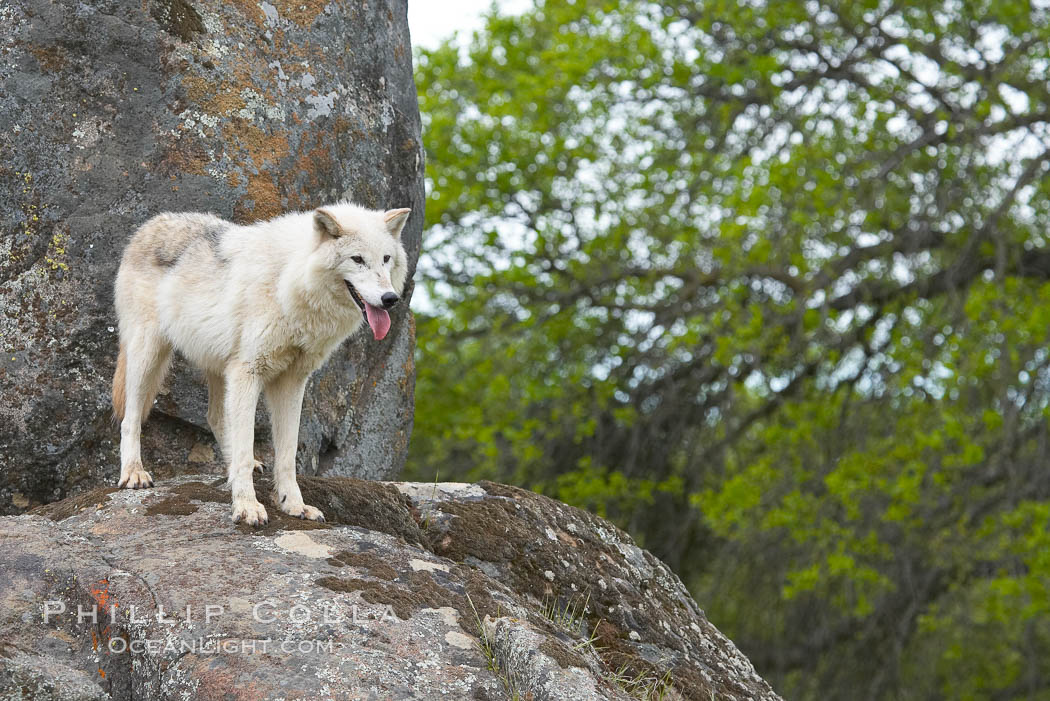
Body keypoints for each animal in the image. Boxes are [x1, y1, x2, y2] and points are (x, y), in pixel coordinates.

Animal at [111, 202, 411, 526]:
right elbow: (245, 447)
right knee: (130, 418)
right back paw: (134, 473)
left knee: (214, 417)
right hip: (147, 354)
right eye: (357, 259)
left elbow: (287, 454)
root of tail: (150, 225)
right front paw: (247, 507)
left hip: (219, 369)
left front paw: (294, 504)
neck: (288, 282)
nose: (390, 298)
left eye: (386, 259)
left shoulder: (292, 381)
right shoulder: (247, 372)